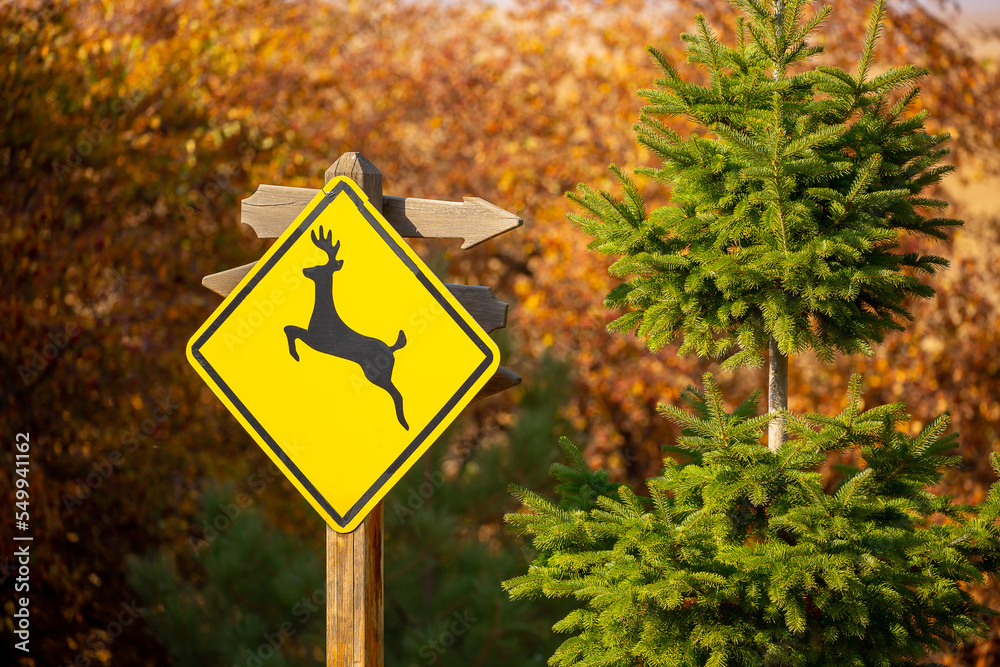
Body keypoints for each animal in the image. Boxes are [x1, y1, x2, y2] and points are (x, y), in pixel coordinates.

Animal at [284, 225, 409, 430]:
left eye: (319, 267)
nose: (305, 270)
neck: (323, 313)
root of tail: (391, 350)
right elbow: (290, 328)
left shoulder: (316, 339)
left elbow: (290, 329)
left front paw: (295, 356)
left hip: (377, 374)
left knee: (397, 394)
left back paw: (404, 424)